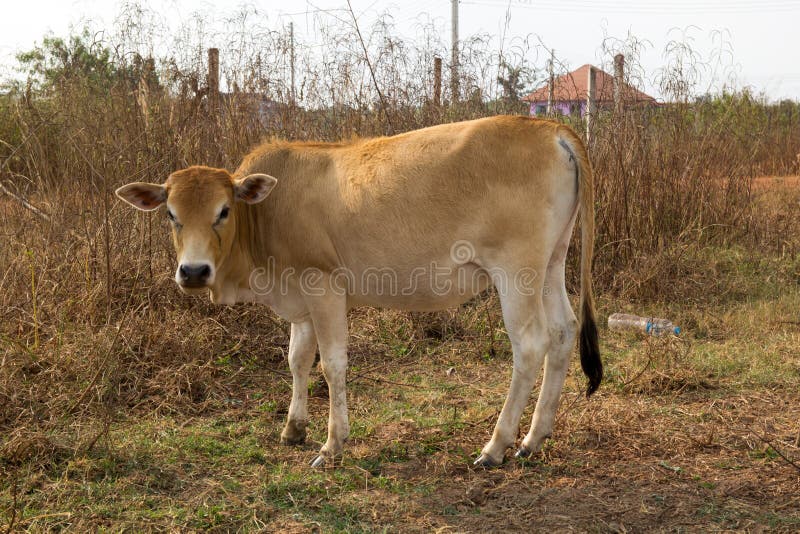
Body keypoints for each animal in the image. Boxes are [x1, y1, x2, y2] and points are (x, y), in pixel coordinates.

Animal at [116, 115, 602, 468]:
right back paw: (534, 437)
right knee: (563, 332)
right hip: (550, 264)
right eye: (171, 214)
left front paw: (332, 444)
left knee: (531, 345)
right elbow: (297, 359)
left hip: (515, 272)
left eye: (223, 210)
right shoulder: (302, 299)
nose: (194, 271)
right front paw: (294, 427)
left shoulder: (323, 286)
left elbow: (331, 365)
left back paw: (496, 445)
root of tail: (549, 128)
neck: (264, 215)